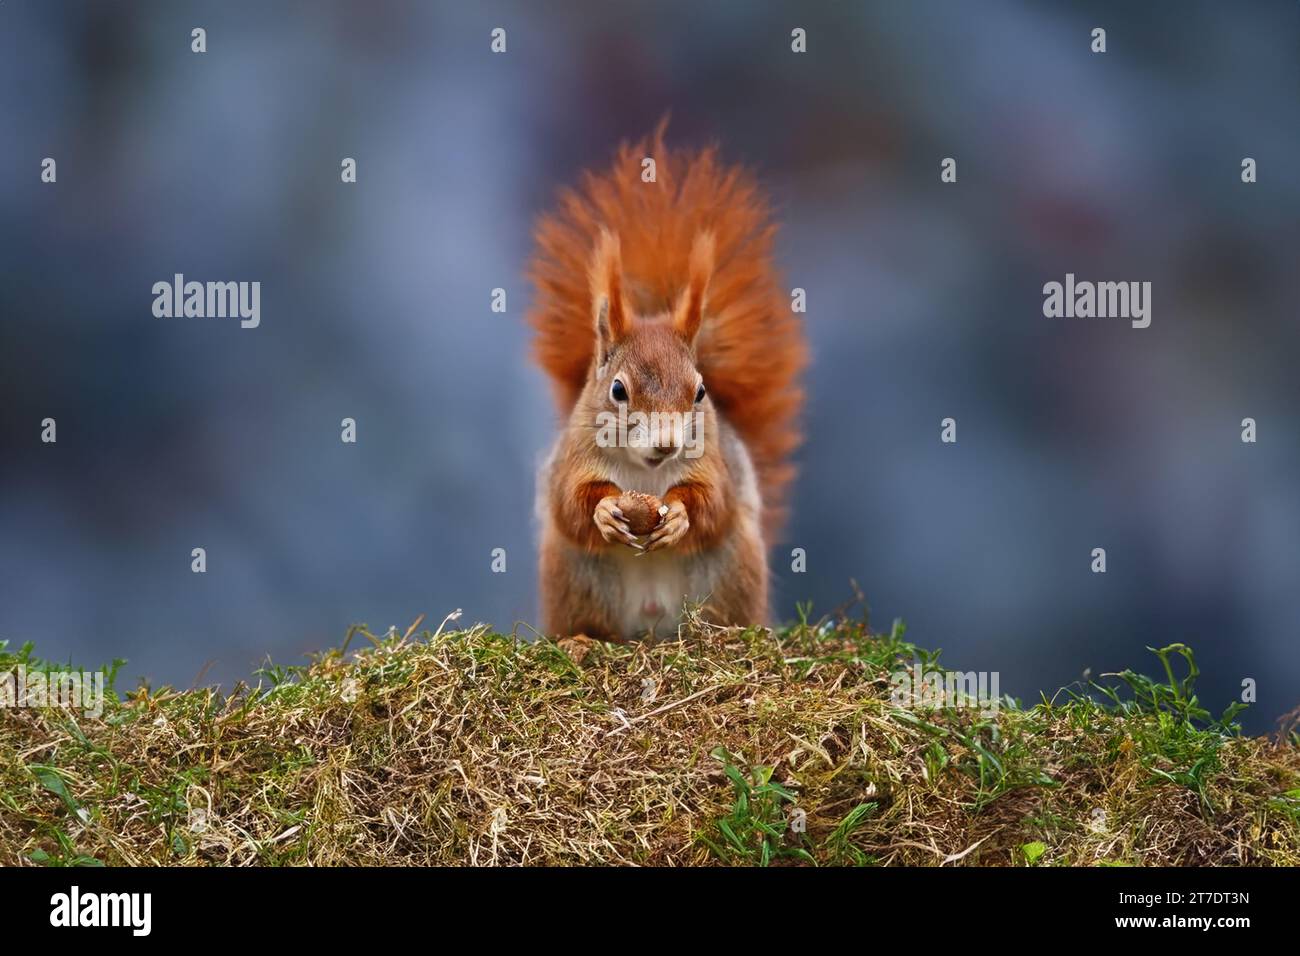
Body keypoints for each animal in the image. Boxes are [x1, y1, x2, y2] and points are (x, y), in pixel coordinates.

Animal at [528, 123, 807, 646]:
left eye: (700, 392)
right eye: (618, 391)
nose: (667, 443)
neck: (646, 473)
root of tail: (651, 628)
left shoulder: (715, 464)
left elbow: (713, 502)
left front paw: (679, 516)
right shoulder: (573, 459)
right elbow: (570, 504)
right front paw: (604, 511)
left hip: (729, 568)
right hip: (576, 574)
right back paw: (581, 640)